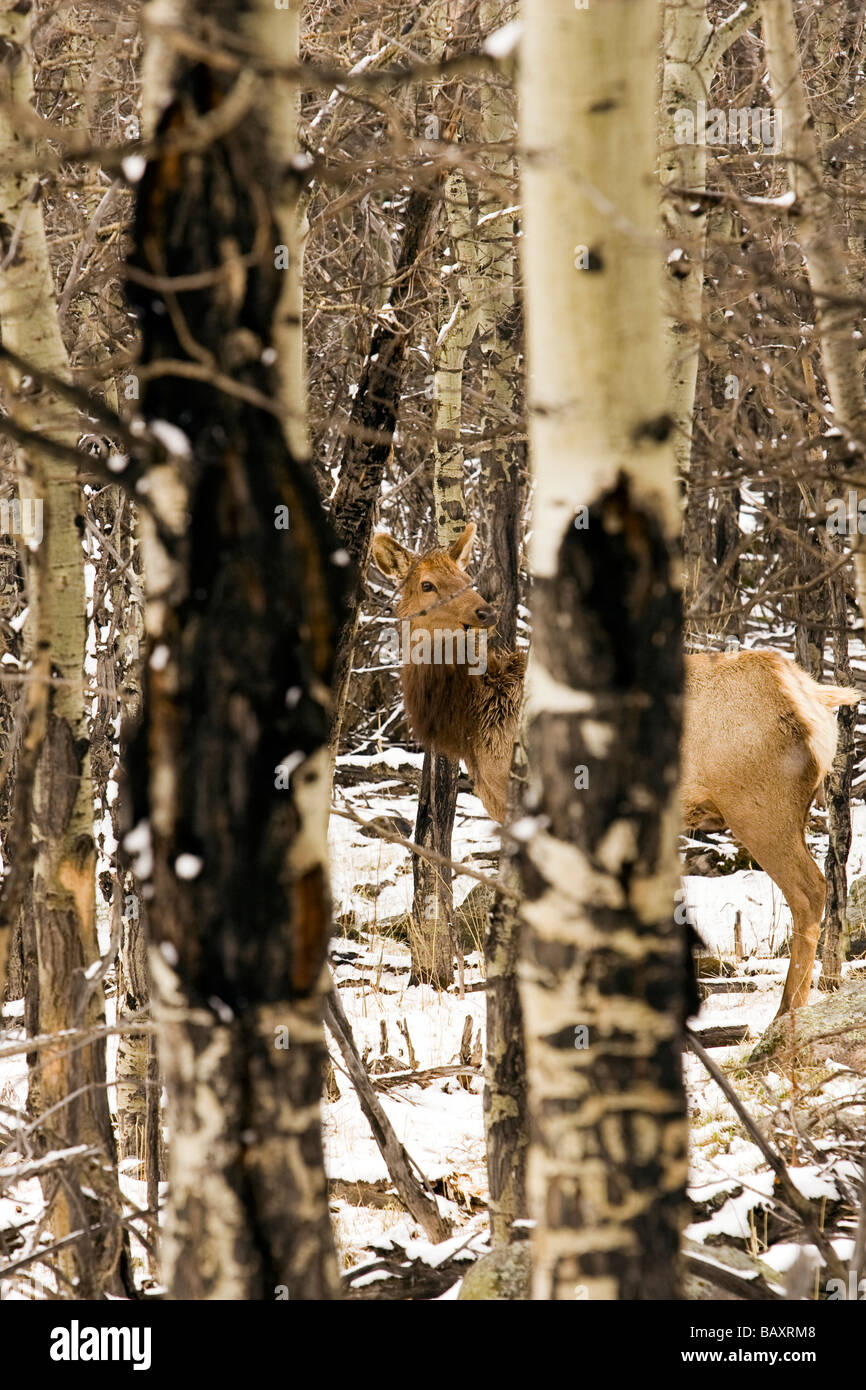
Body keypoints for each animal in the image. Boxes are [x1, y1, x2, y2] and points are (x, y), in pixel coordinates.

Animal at [370, 524, 860, 1016]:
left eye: (466, 577)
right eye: (427, 584)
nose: (484, 612)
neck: (472, 723)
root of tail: (812, 698)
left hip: (760, 803)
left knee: (810, 890)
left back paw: (786, 1014)